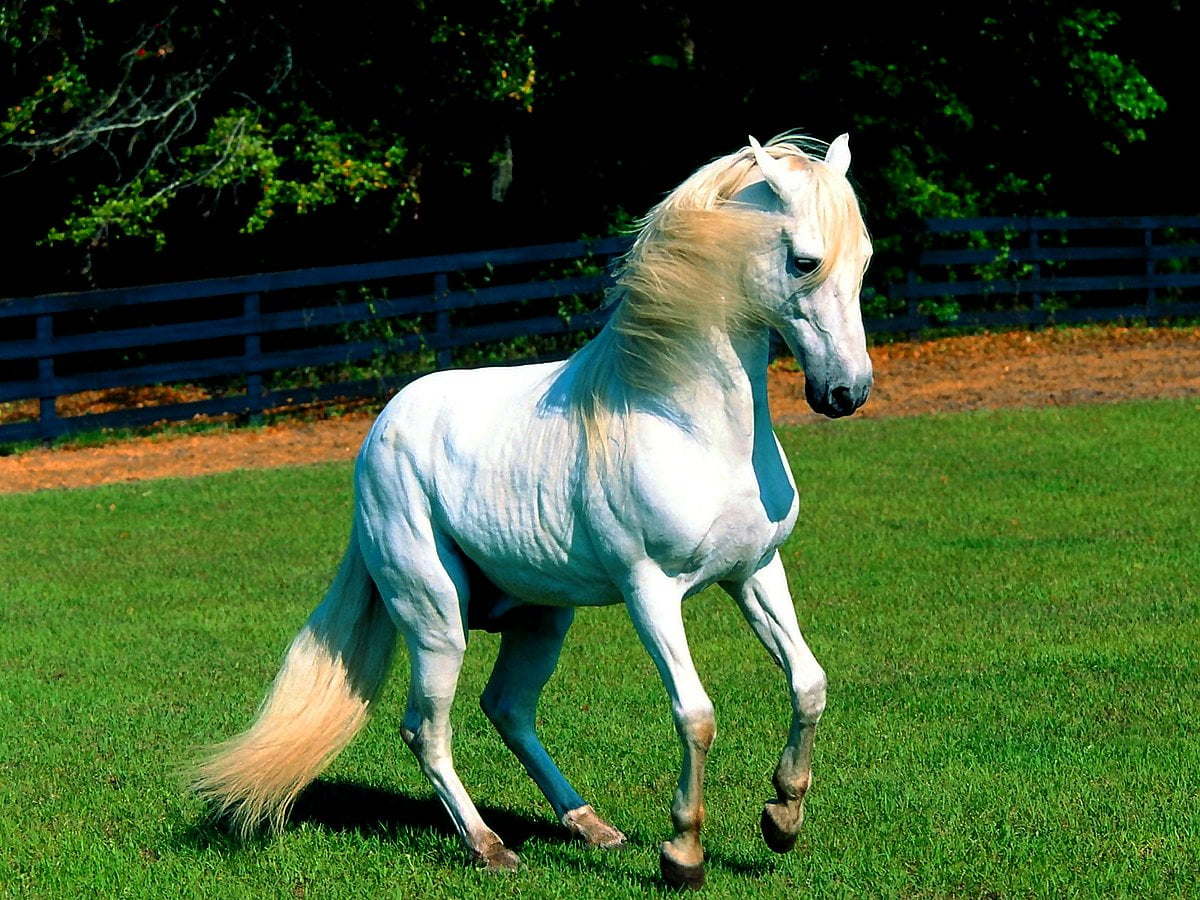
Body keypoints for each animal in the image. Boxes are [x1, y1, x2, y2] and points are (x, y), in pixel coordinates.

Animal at [191, 133, 874, 889]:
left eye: (865, 257)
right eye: (804, 260)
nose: (846, 393)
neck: (688, 425)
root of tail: (380, 432)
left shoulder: (753, 571)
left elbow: (808, 684)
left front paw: (781, 819)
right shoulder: (651, 591)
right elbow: (695, 714)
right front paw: (684, 854)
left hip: (543, 618)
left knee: (508, 708)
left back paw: (590, 826)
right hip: (435, 620)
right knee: (426, 728)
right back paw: (489, 846)